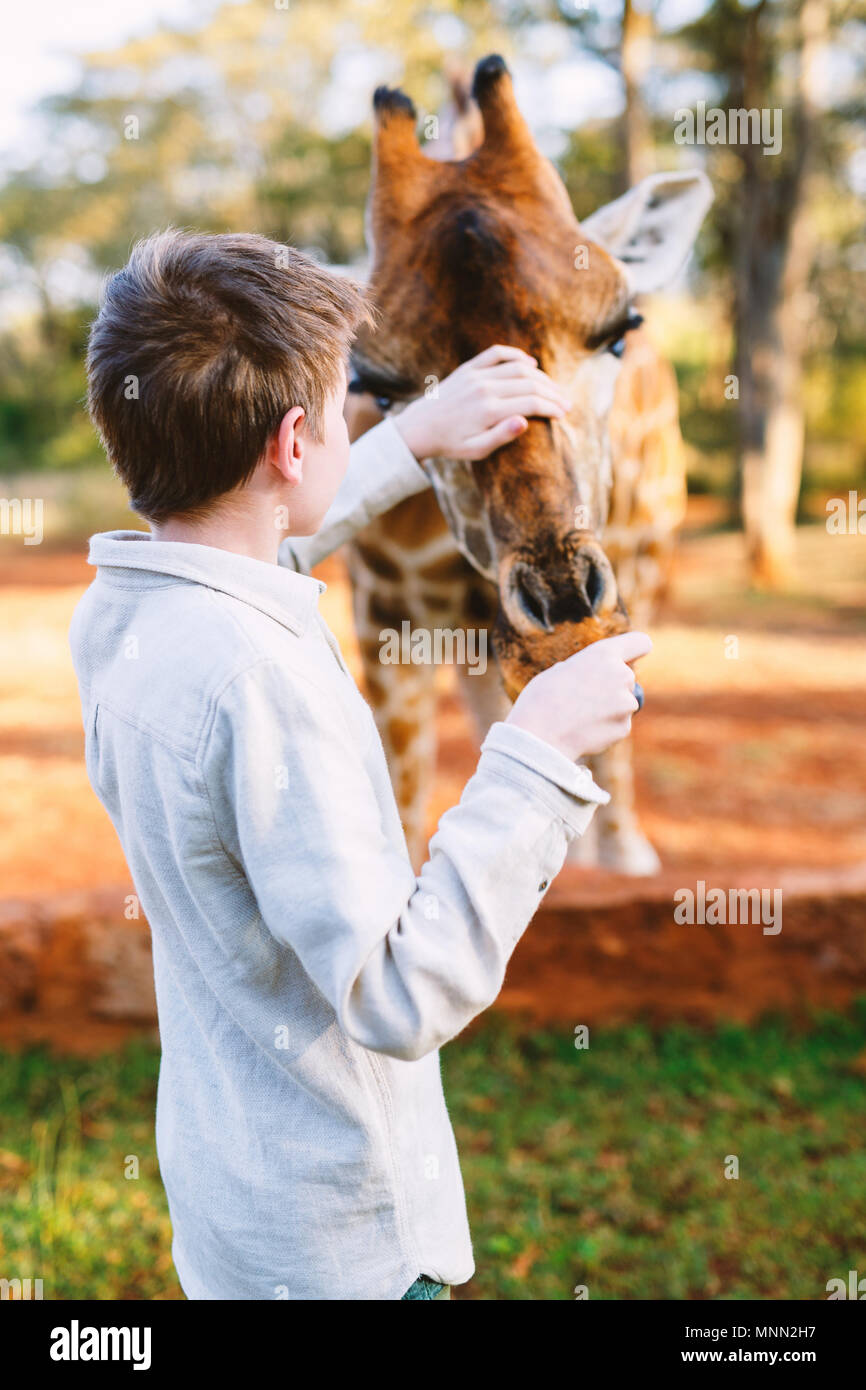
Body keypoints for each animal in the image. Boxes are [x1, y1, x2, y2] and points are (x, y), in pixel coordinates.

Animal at [343, 54, 711, 873]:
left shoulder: (634, 572)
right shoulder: (388, 612)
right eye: (378, 387)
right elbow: (402, 808)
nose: (563, 622)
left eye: (618, 332)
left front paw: (620, 854)